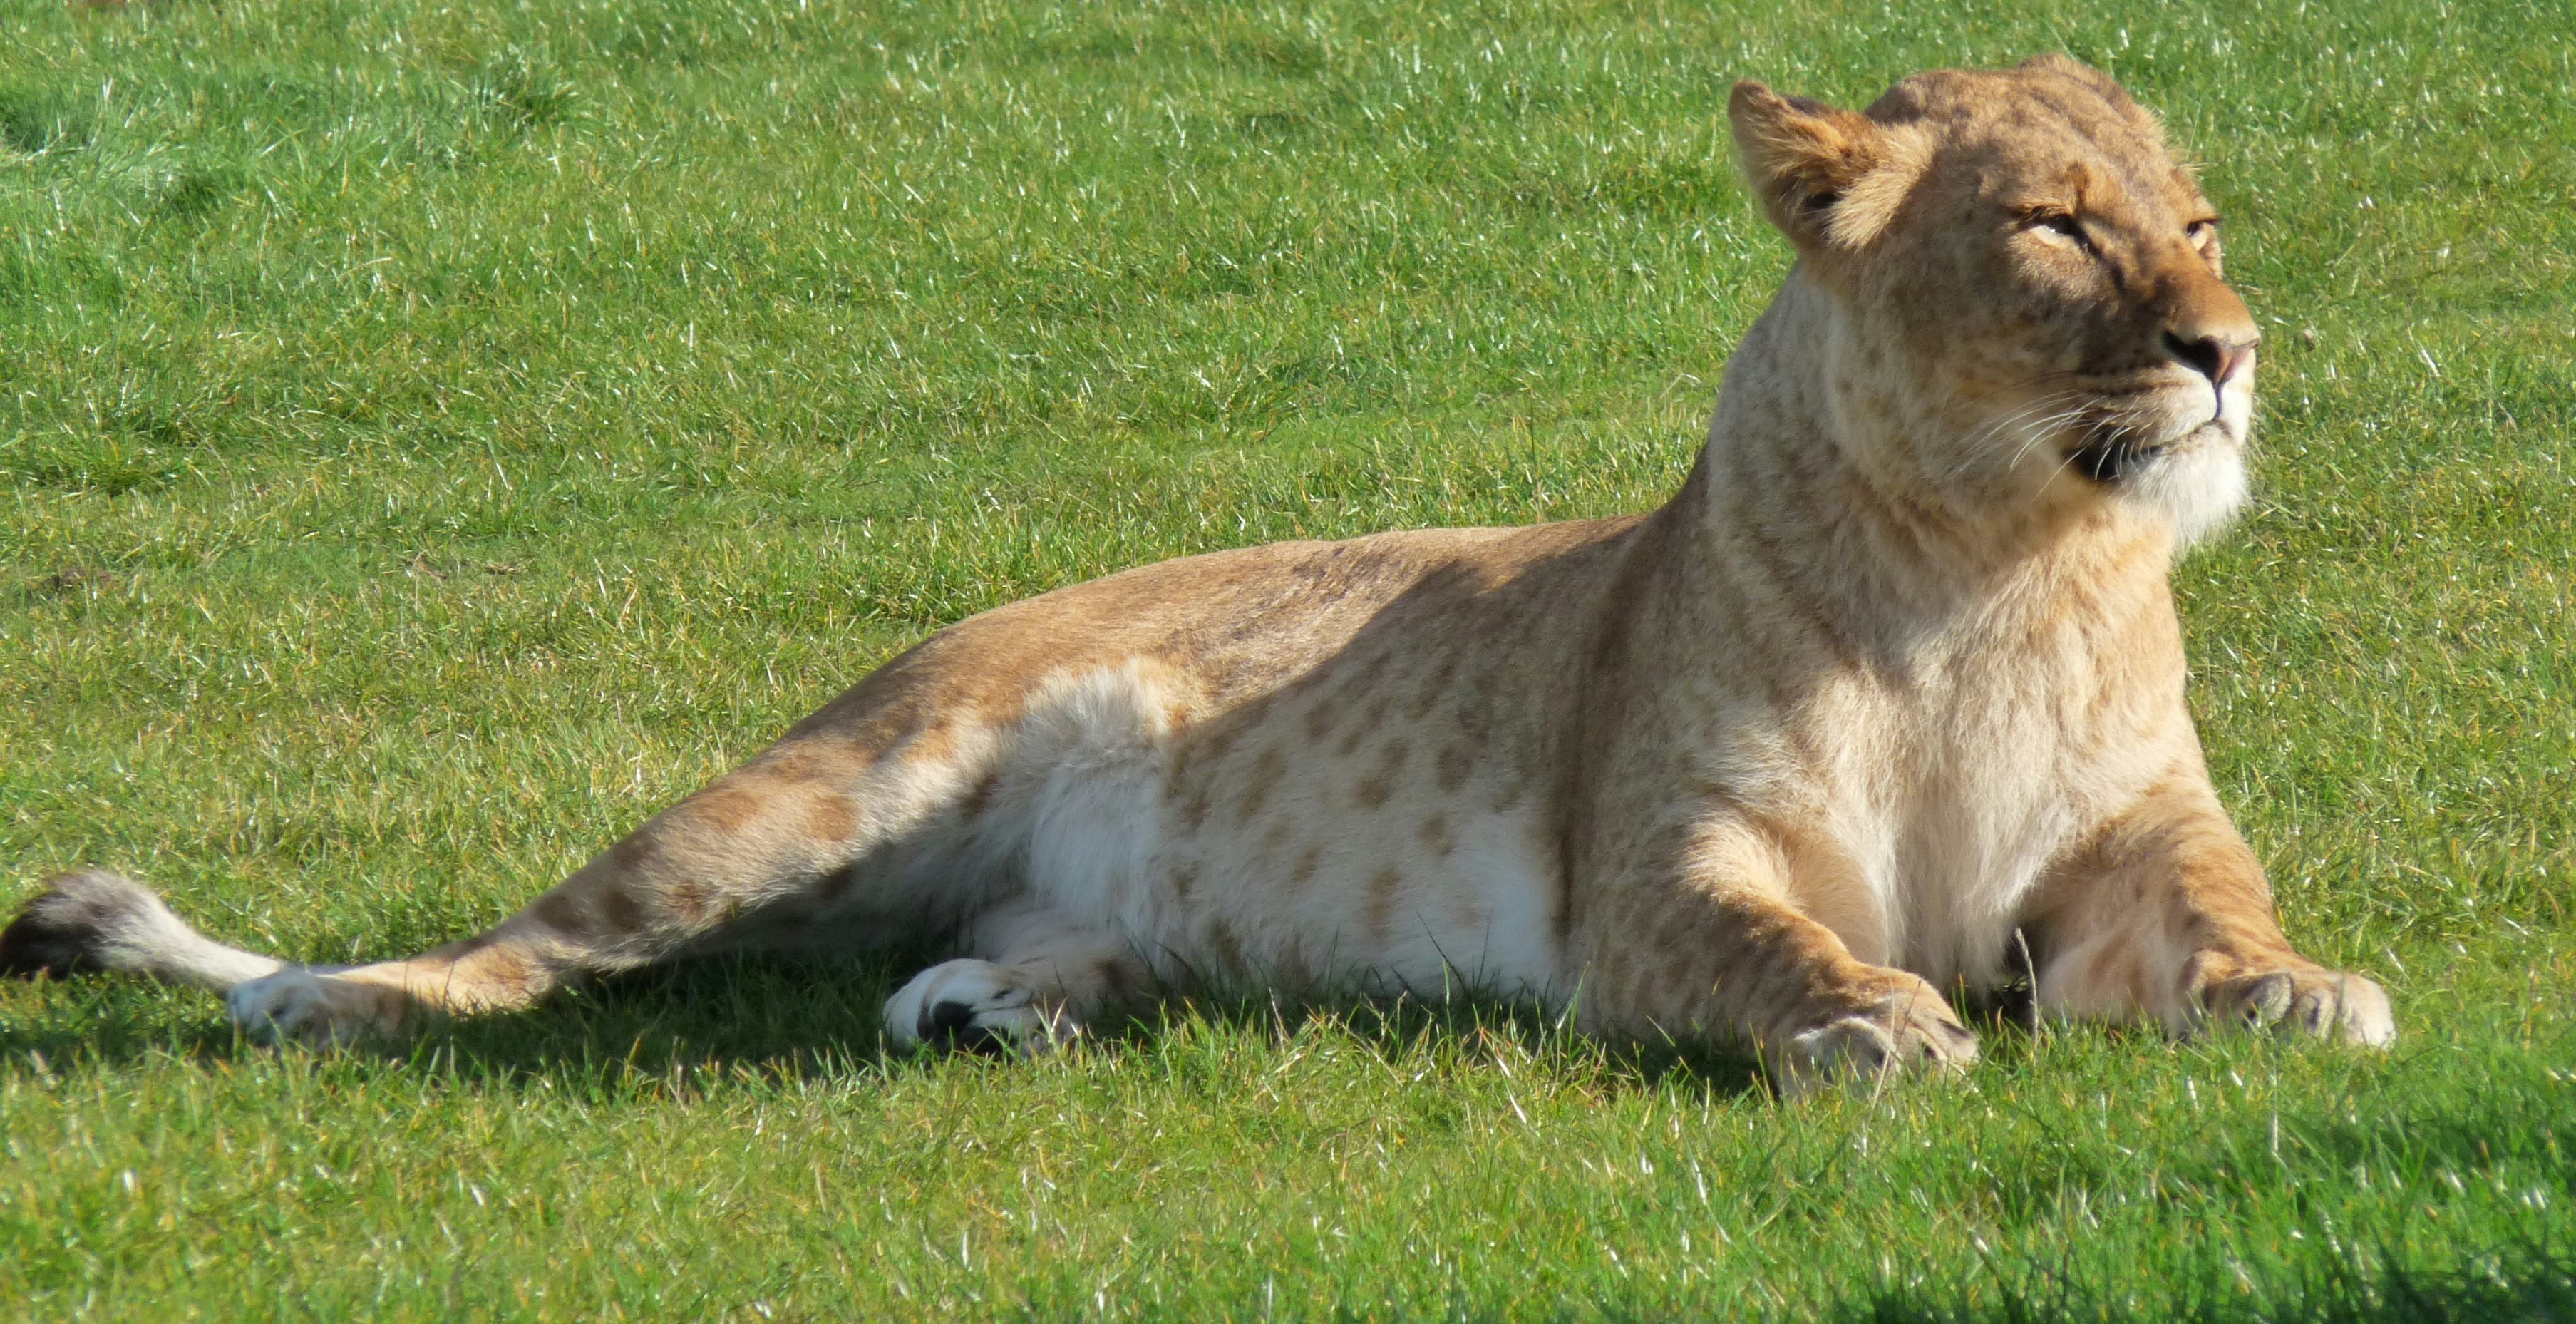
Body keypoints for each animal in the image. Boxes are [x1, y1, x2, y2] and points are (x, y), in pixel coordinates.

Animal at [3, 55, 2393, 1090]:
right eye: (2057, 227)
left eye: (2198, 219)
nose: (2230, 349)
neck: (1991, 564)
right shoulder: (1652, 878)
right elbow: (1772, 947)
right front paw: (1872, 1022)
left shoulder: (2124, 837)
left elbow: (2216, 916)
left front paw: (2302, 993)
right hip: (812, 790)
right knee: (526, 948)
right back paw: (296, 993)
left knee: (969, 958)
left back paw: (988, 1010)